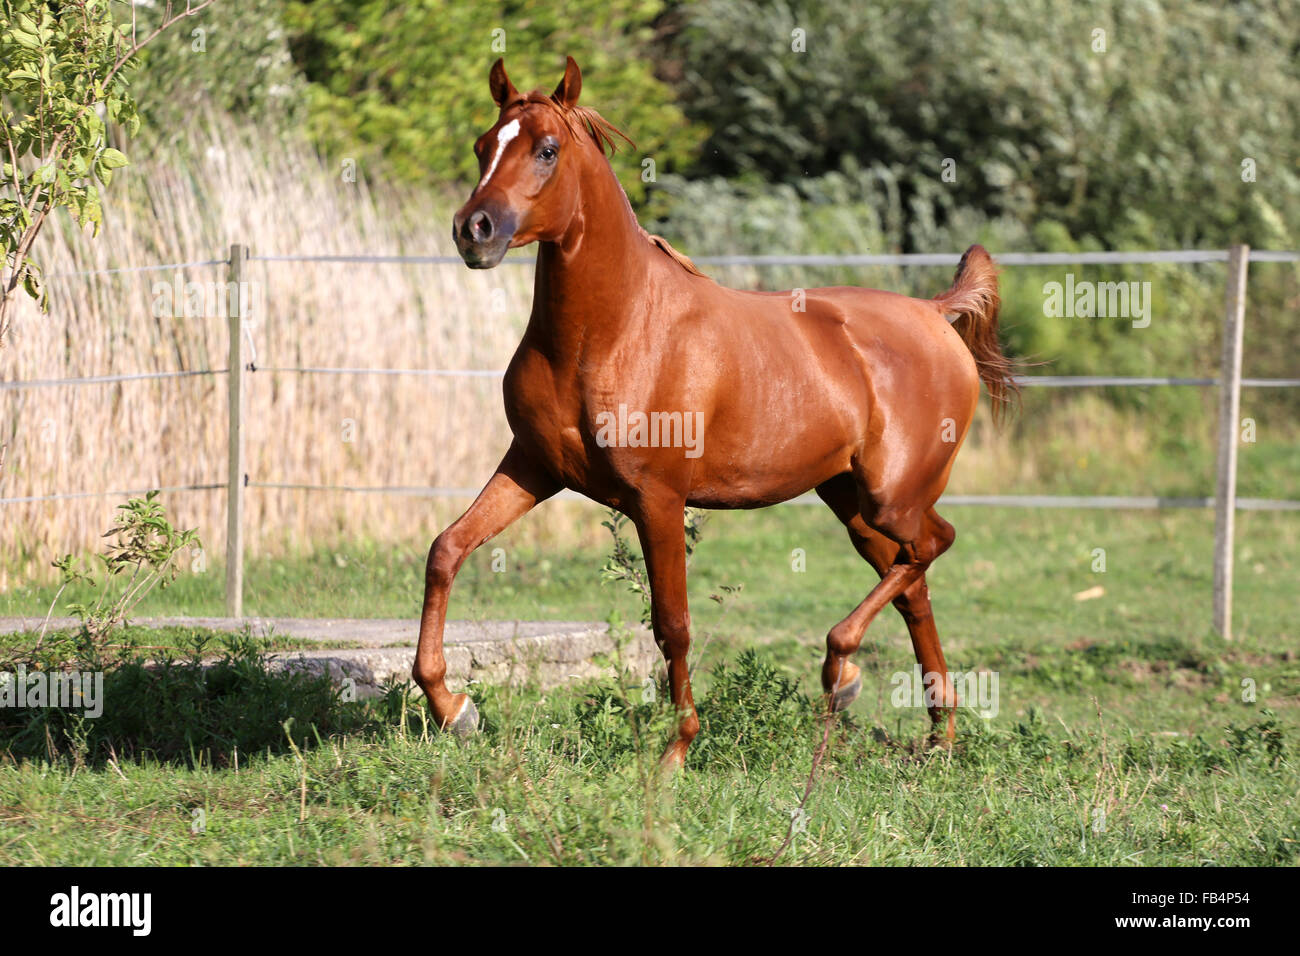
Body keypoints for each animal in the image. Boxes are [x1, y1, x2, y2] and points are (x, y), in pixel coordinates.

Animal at [414, 56, 1018, 768]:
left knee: (933, 545)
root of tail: (934, 313)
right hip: (849, 499)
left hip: (892, 497)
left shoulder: (657, 497)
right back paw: (935, 734)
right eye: (483, 145)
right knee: (915, 584)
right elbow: (446, 550)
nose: (474, 230)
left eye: (546, 150)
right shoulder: (533, 467)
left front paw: (676, 751)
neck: (613, 331)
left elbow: (672, 623)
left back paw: (843, 669)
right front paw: (453, 709)